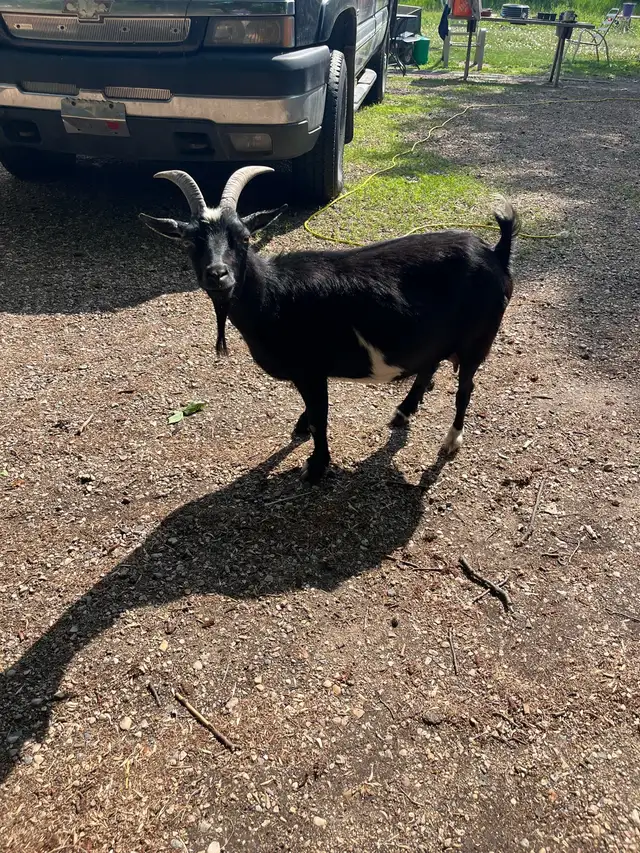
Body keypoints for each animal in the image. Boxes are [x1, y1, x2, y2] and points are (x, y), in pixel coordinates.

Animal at [140, 166, 518, 484]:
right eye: (189, 241)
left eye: (245, 237)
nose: (218, 274)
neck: (273, 295)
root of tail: (495, 252)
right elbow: (311, 412)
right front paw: (302, 430)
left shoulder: (311, 370)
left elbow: (320, 416)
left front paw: (316, 466)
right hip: (438, 335)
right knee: (430, 364)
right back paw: (403, 412)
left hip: (478, 337)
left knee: (465, 387)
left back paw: (450, 441)